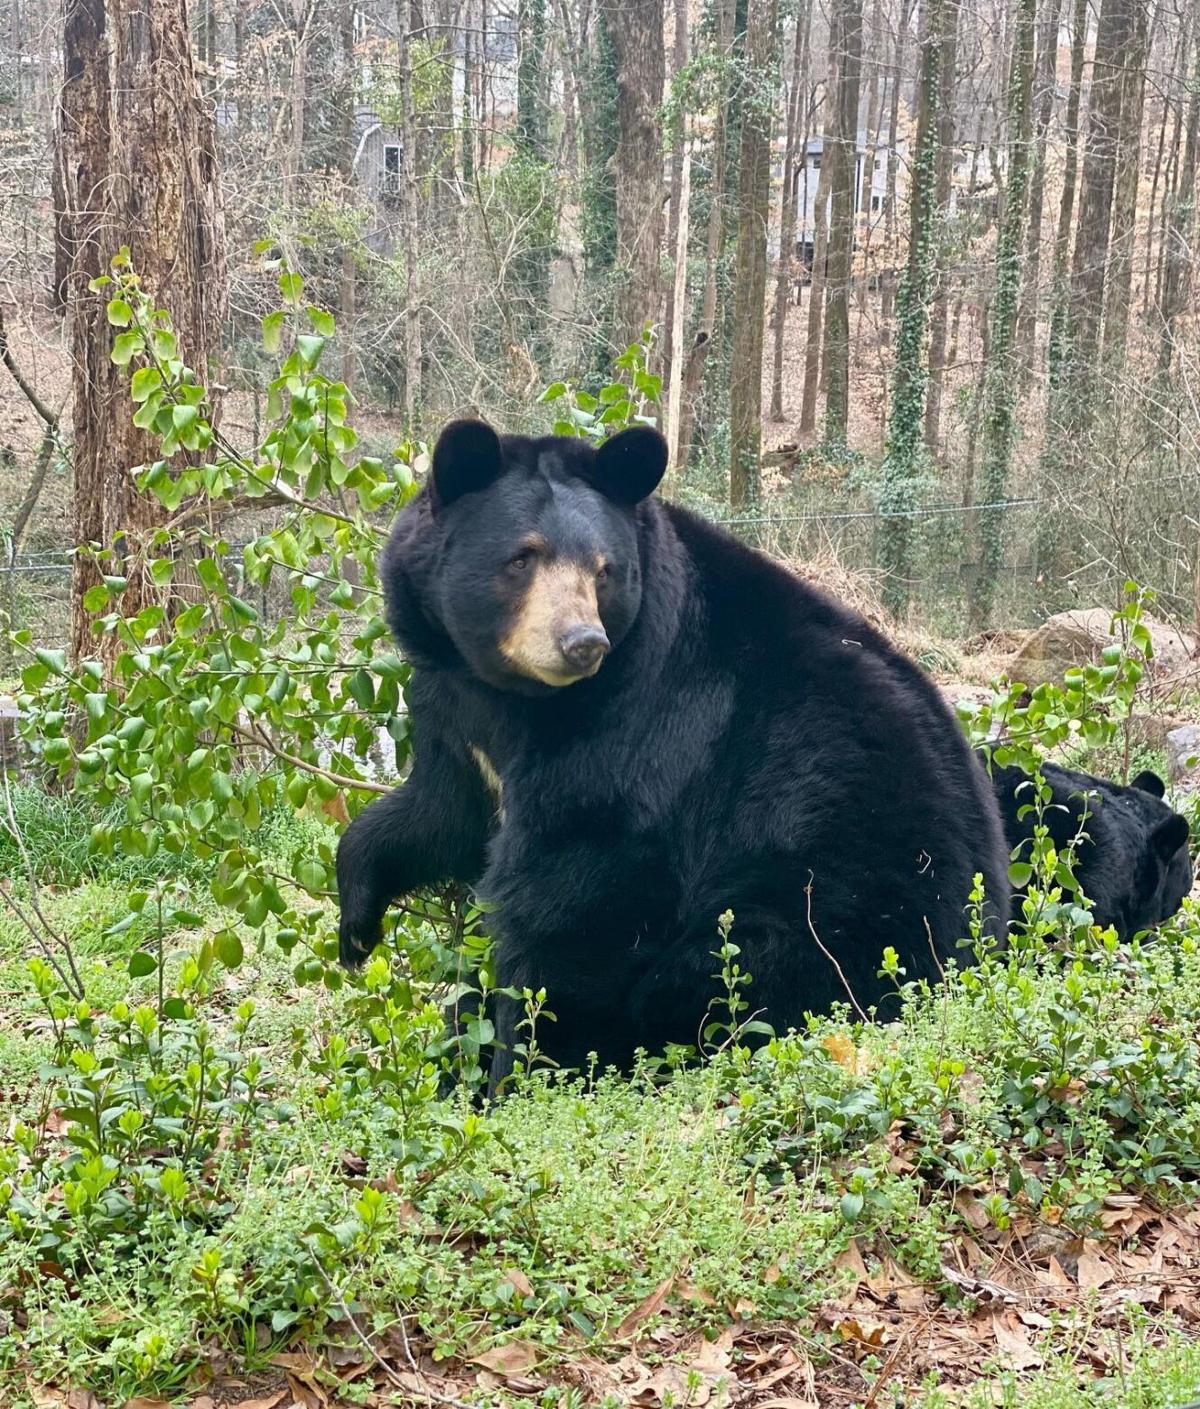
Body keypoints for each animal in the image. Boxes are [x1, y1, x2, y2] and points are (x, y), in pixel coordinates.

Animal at [336, 420, 1011, 1096]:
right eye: (522, 557)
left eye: (604, 571)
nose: (582, 643)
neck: (515, 697)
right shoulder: (453, 711)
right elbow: (441, 810)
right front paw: (356, 928)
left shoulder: (639, 726)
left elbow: (577, 900)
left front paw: (524, 1072)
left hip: (827, 897)